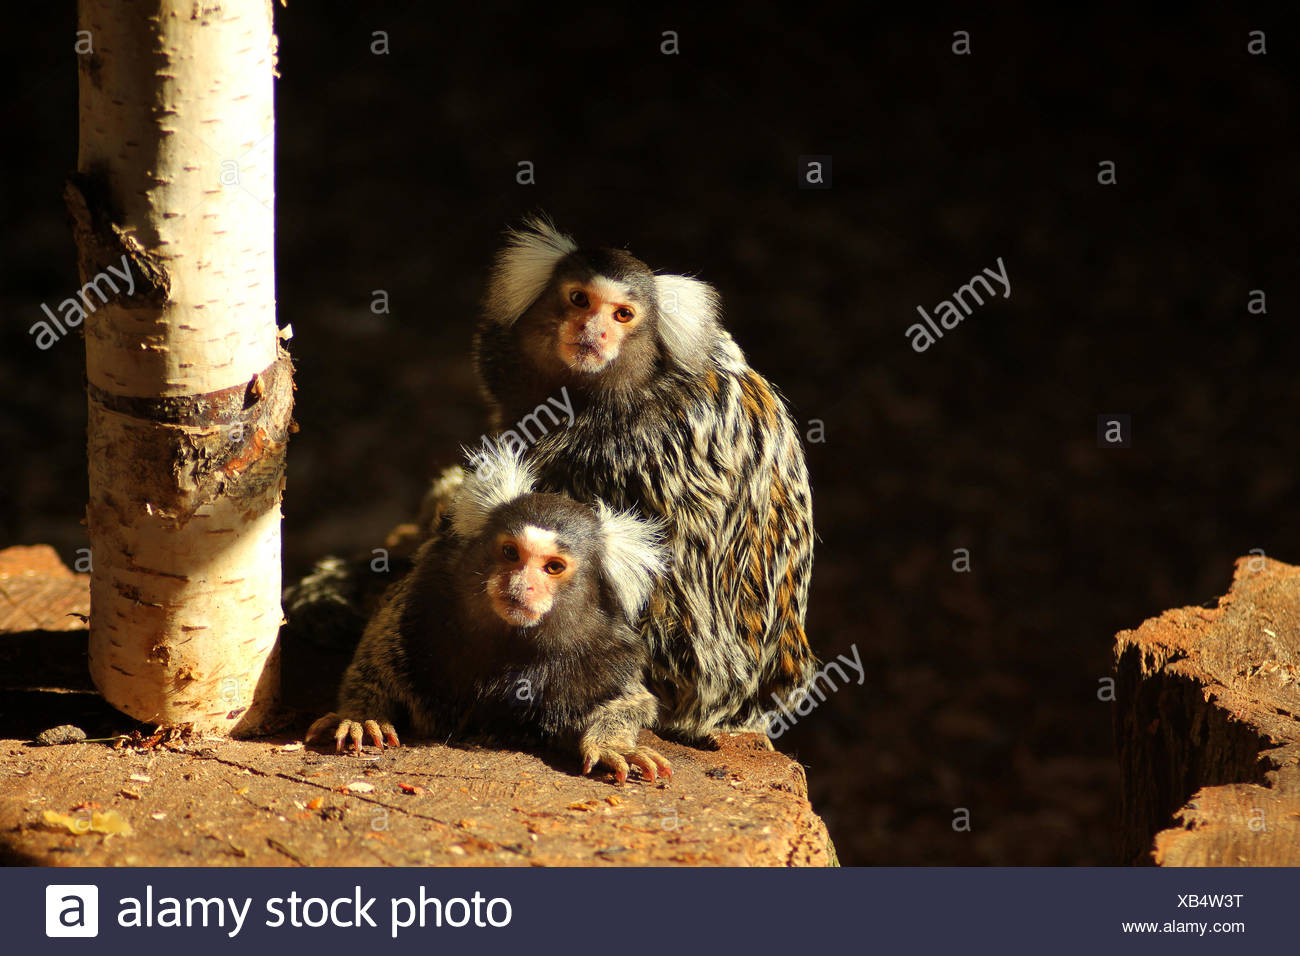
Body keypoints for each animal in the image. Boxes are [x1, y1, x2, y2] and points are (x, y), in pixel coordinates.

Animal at [305, 441, 672, 784]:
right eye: (510, 553)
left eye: (553, 567)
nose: (521, 585)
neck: (513, 641)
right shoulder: (416, 607)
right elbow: (376, 664)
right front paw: (362, 715)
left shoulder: (606, 652)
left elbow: (630, 704)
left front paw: (613, 745)